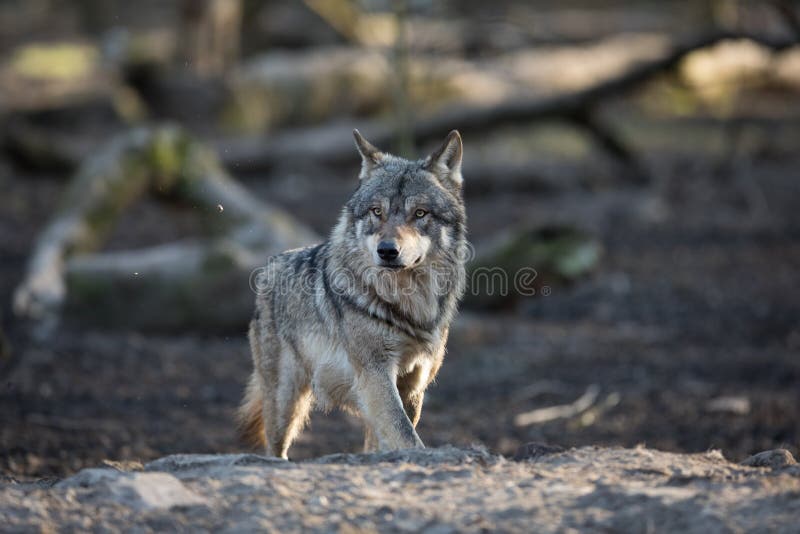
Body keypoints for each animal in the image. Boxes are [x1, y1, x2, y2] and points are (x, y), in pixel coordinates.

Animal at [237, 129, 467, 458]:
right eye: (376, 212)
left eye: (420, 213)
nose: (387, 251)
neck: (408, 304)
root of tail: (271, 265)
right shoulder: (375, 375)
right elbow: (406, 437)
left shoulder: (412, 385)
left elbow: (399, 437)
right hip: (286, 402)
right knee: (274, 448)